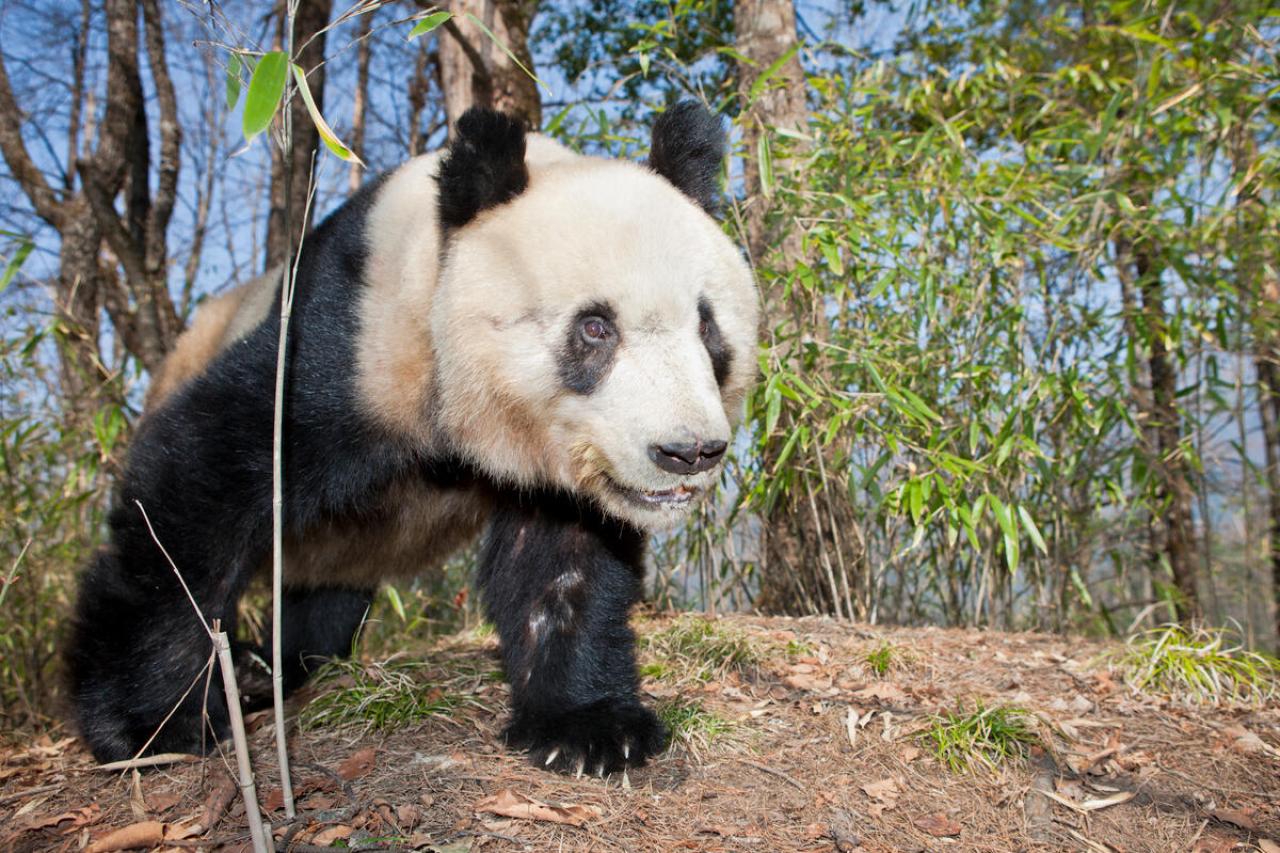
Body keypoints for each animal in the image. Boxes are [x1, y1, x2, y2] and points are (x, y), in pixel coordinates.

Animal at [68, 102, 758, 777]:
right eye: (594, 328)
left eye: (707, 326)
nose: (688, 452)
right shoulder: (355, 347)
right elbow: (200, 486)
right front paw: (150, 725)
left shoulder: (561, 448)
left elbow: (563, 557)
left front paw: (587, 729)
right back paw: (250, 674)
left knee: (321, 595)